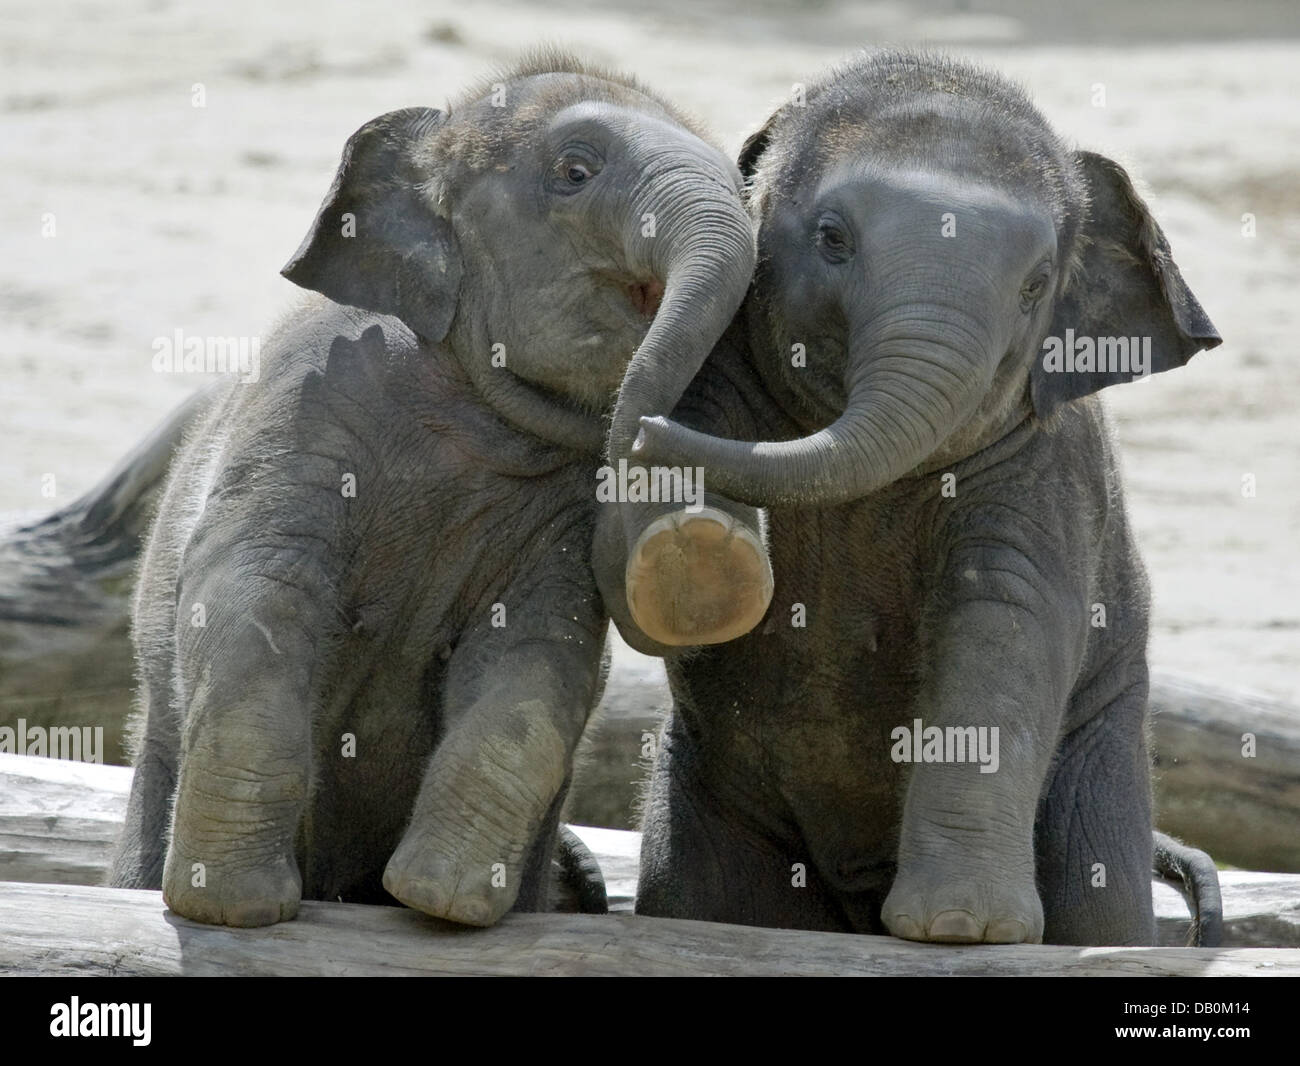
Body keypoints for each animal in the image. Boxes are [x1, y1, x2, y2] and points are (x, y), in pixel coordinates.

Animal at [109, 52, 755, 928]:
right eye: (574, 172)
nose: (691, 554)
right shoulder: (303, 407)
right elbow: (257, 595)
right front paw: (232, 907)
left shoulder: (565, 515)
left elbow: (536, 659)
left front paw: (439, 902)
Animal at [595, 50, 1224, 946]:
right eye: (832, 239)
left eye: (1037, 285)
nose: (646, 427)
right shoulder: (721, 364)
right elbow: (632, 593)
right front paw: (700, 555)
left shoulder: (1043, 463)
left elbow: (1002, 615)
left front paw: (962, 928)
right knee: (704, 895)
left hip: (1104, 751)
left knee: (1102, 896)